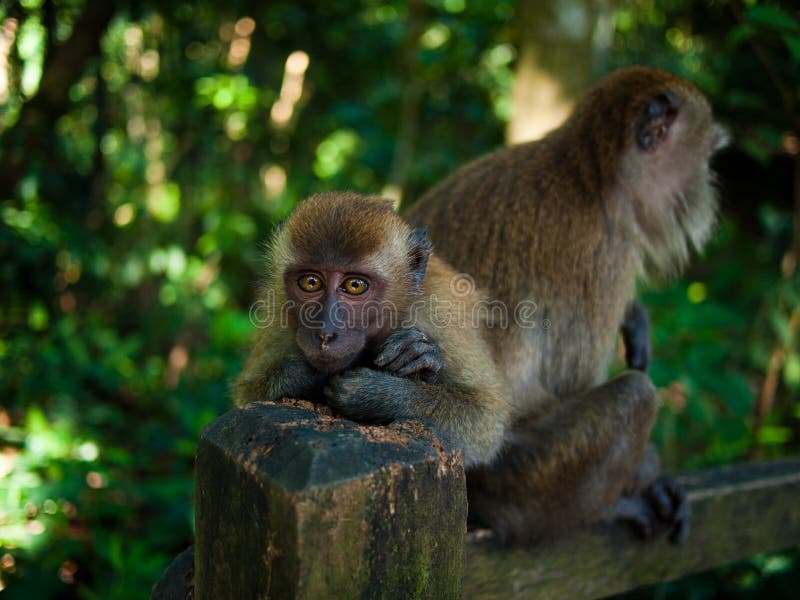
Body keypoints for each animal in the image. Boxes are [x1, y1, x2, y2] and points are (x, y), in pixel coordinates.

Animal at [232, 191, 512, 467]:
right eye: (311, 282)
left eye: (355, 285)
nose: (325, 333)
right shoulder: (278, 312)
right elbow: (246, 395)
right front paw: (300, 375)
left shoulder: (443, 311)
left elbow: (483, 419)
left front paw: (389, 385)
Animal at [405, 66, 728, 545]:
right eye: (705, 157)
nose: (710, 186)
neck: (588, 171)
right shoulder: (602, 256)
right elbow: (574, 380)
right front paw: (649, 472)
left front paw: (637, 321)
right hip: (520, 479)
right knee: (635, 395)